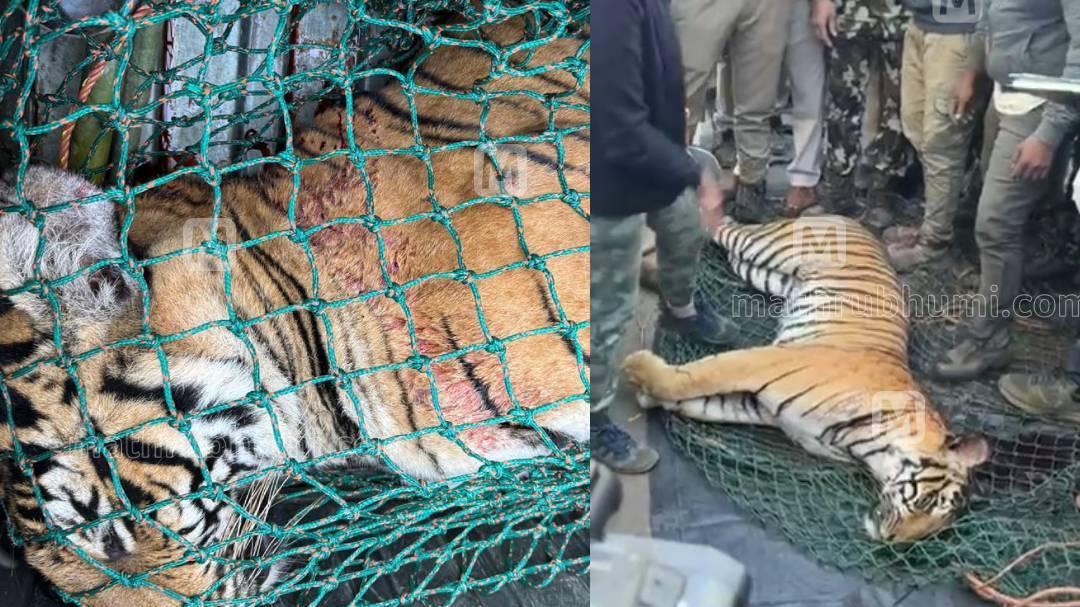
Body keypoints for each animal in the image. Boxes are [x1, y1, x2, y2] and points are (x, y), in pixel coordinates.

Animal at [623, 216, 988, 543]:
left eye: (934, 530)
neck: (866, 446)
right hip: (762, 248)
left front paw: (648, 394)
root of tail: (853, 220)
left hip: (757, 271)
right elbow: (696, 377)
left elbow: (699, 402)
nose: (893, 540)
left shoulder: (764, 409)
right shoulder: (765, 364)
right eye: (928, 501)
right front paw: (637, 366)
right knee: (720, 223)